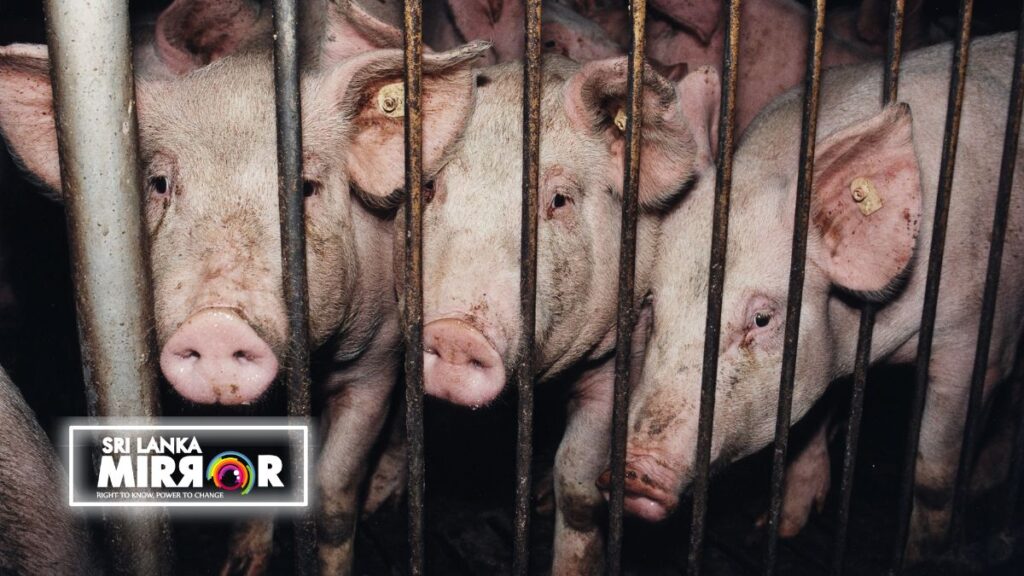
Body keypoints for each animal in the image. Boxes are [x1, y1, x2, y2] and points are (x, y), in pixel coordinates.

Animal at [614, 32, 1023, 561]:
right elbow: (808, 426)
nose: (630, 472)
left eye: (763, 319)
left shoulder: (977, 341)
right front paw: (784, 526)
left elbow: (932, 474)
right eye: (651, 307)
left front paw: (921, 554)